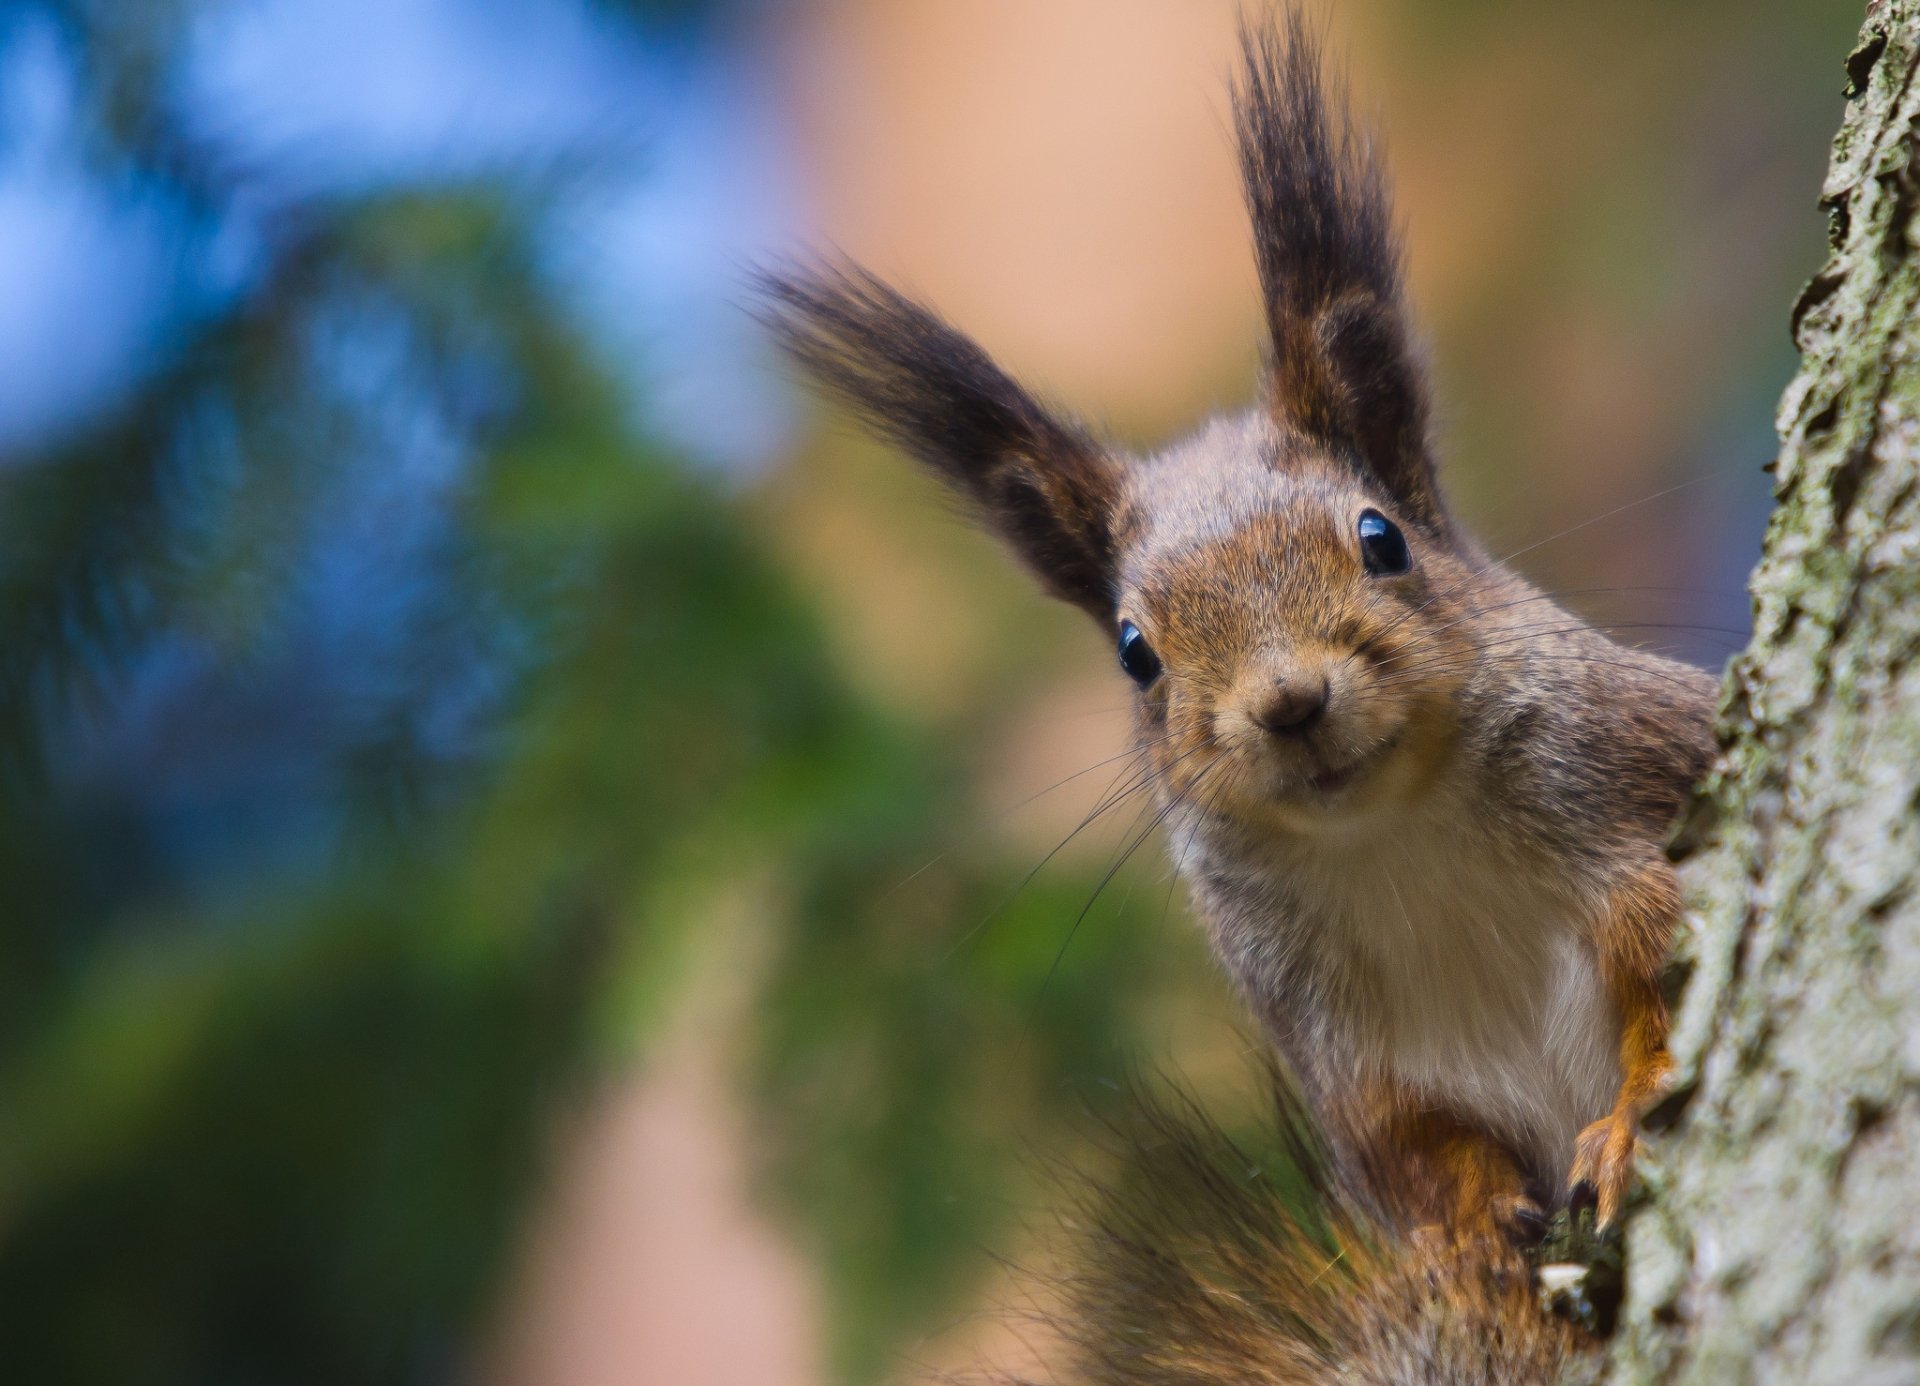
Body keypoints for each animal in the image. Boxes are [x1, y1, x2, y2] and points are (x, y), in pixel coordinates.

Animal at [761, 8, 1719, 1380]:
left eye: (1380, 538)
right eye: (1134, 651)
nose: (1289, 703)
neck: (1401, 843)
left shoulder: (1638, 807)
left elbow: (1669, 983)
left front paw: (1633, 1118)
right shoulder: (1359, 1069)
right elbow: (1425, 1165)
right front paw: (1470, 1245)